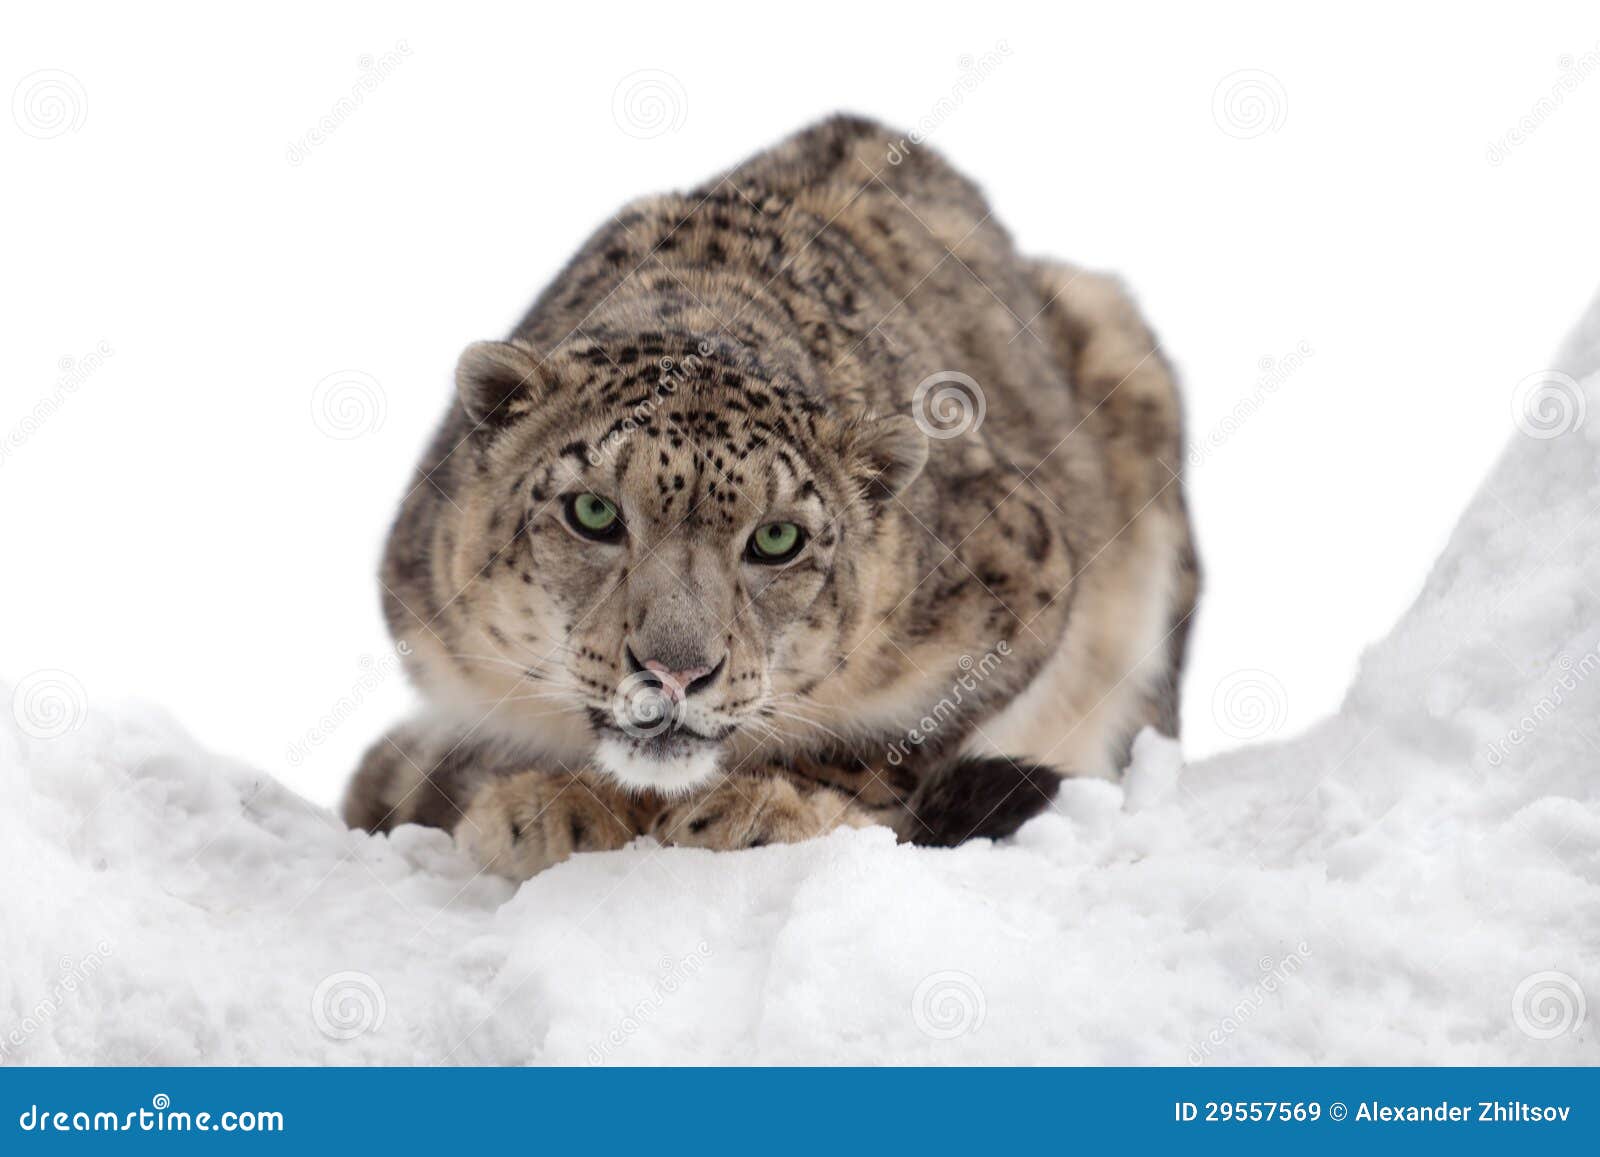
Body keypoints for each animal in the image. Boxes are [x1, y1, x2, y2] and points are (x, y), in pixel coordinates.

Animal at [342, 114, 1200, 880]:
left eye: (777, 539)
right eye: (592, 513)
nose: (675, 670)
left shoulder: (1019, 573)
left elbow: (890, 740)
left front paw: (761, 808)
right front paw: (552, 805)